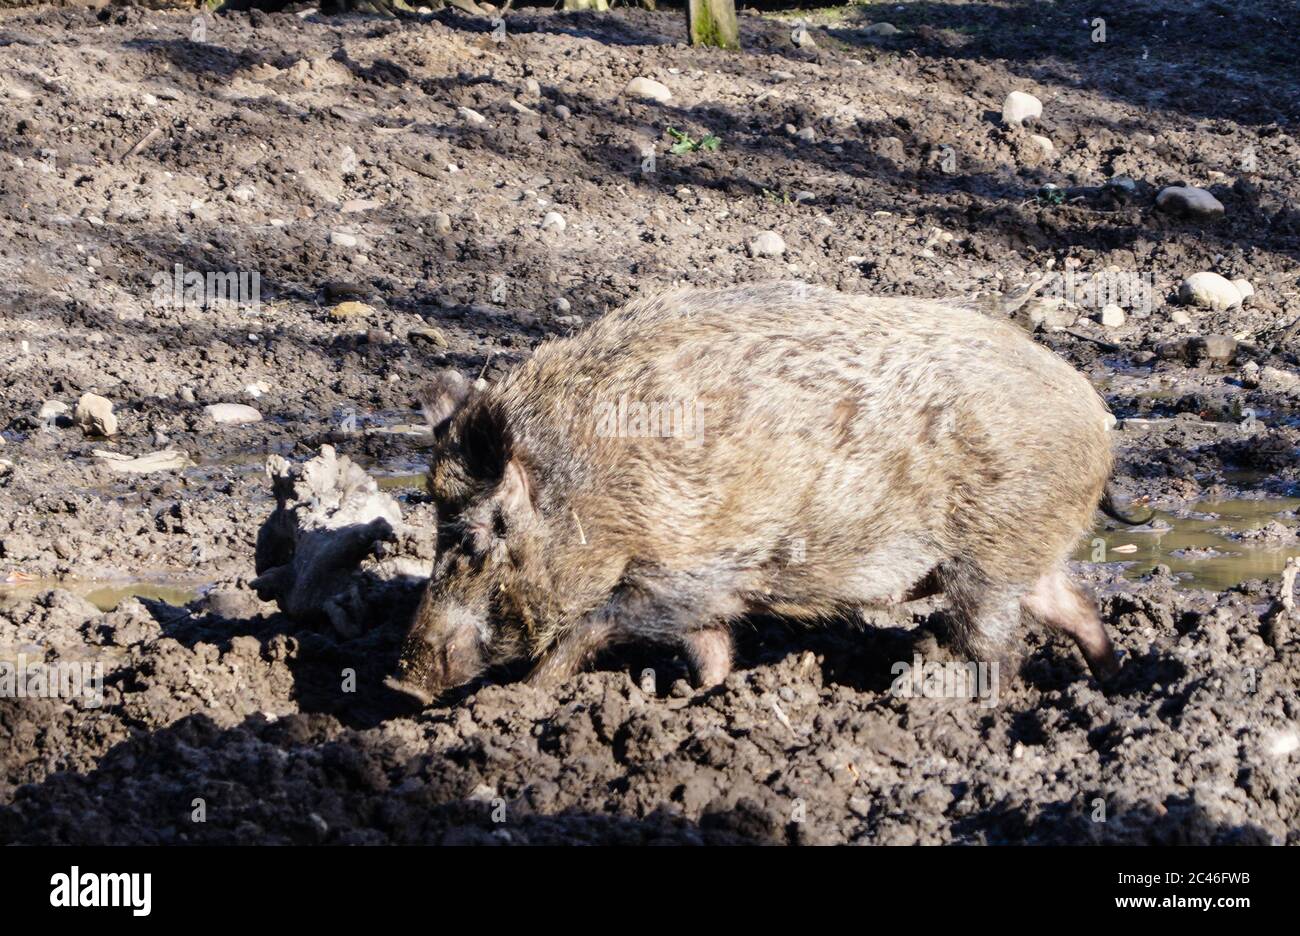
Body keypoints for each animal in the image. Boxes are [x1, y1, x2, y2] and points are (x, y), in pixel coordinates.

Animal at [384, 283, 1121, 705]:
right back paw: (1112, 682)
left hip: (988, 559)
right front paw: (695, 698)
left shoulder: (687, 571)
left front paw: (523, 696)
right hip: (1023, 553)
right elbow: (709, 649)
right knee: (1074, 608)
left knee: (997, 645)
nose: (401, 680)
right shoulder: (701, 590)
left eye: (473, 535)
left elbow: (596, 628)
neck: (592, 488)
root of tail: (1095, 414)